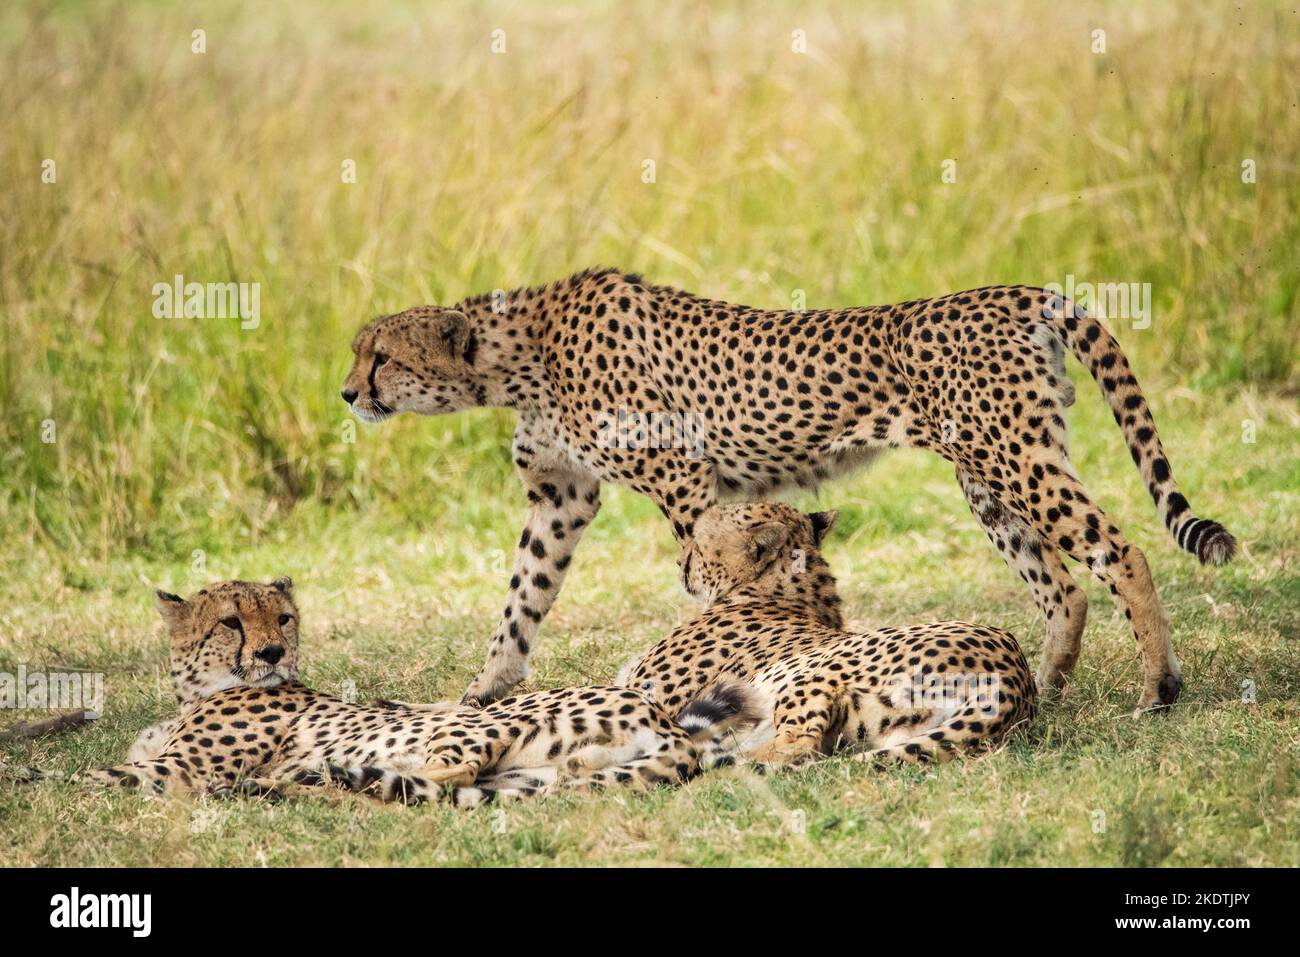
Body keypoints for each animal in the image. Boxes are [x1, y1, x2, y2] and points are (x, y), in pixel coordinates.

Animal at [77, 578, 760, 805]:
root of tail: (665, 722)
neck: (195, 693)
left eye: (284, 618)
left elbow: (93, 776)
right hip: (536, 775)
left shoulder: (180, 768)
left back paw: (317, 779)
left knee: (443, 773)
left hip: (476, 725)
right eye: (231, 623)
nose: (271, 653)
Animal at [341, 268, 1236, 714]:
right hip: (987, 473)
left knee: (1120, 550)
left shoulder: (683, 475)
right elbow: (521, 597)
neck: (516, 354)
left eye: (380, 356)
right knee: (1061, 584)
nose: (348, 393)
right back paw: (1049, 686)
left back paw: (1159, 688)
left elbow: (711, 573)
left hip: (1012, 454)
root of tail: (1020, 292)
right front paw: (486, 684)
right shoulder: (562, 495)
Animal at [618, 502, 1036, 765]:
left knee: (797, 747)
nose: (679, 562)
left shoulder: (648, 695)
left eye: (697, 543)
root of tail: (1015, 675)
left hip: (804, 673)